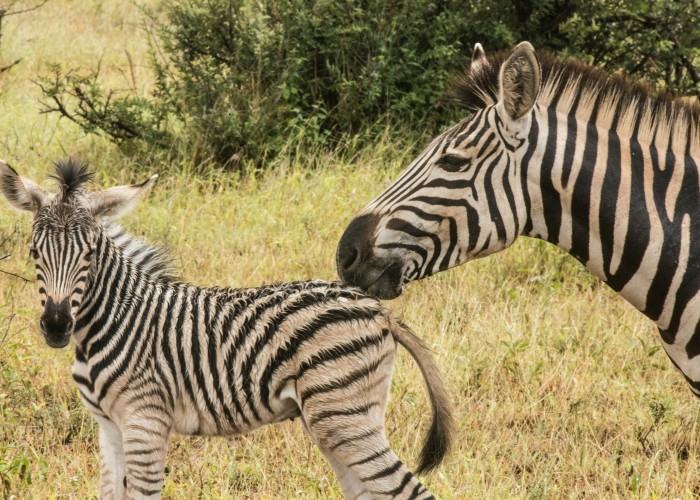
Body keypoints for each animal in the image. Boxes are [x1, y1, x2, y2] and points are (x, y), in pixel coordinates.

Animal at [0, 158, 452, 499]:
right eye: (34, 251)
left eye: (90, 254)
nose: (56, 326)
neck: (113, 319)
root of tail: (376, 308)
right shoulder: (108, 427)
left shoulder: (145, 420)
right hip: (336, 421)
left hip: (345, 415)